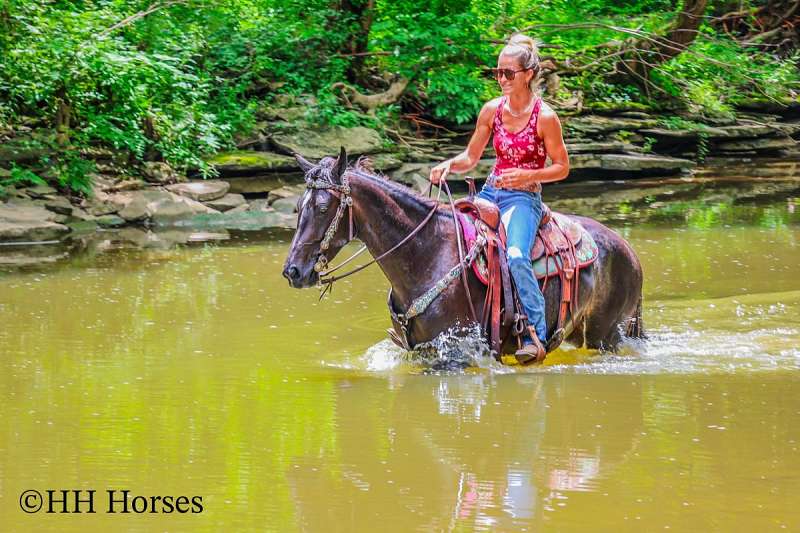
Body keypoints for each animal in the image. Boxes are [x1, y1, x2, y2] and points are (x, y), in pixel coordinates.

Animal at [282, 147, 645, 361]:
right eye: (298, 206)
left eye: (324, 207)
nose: (293, 271)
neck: (426, 253)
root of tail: (628, 250)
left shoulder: (454, 354)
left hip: (607, 337)